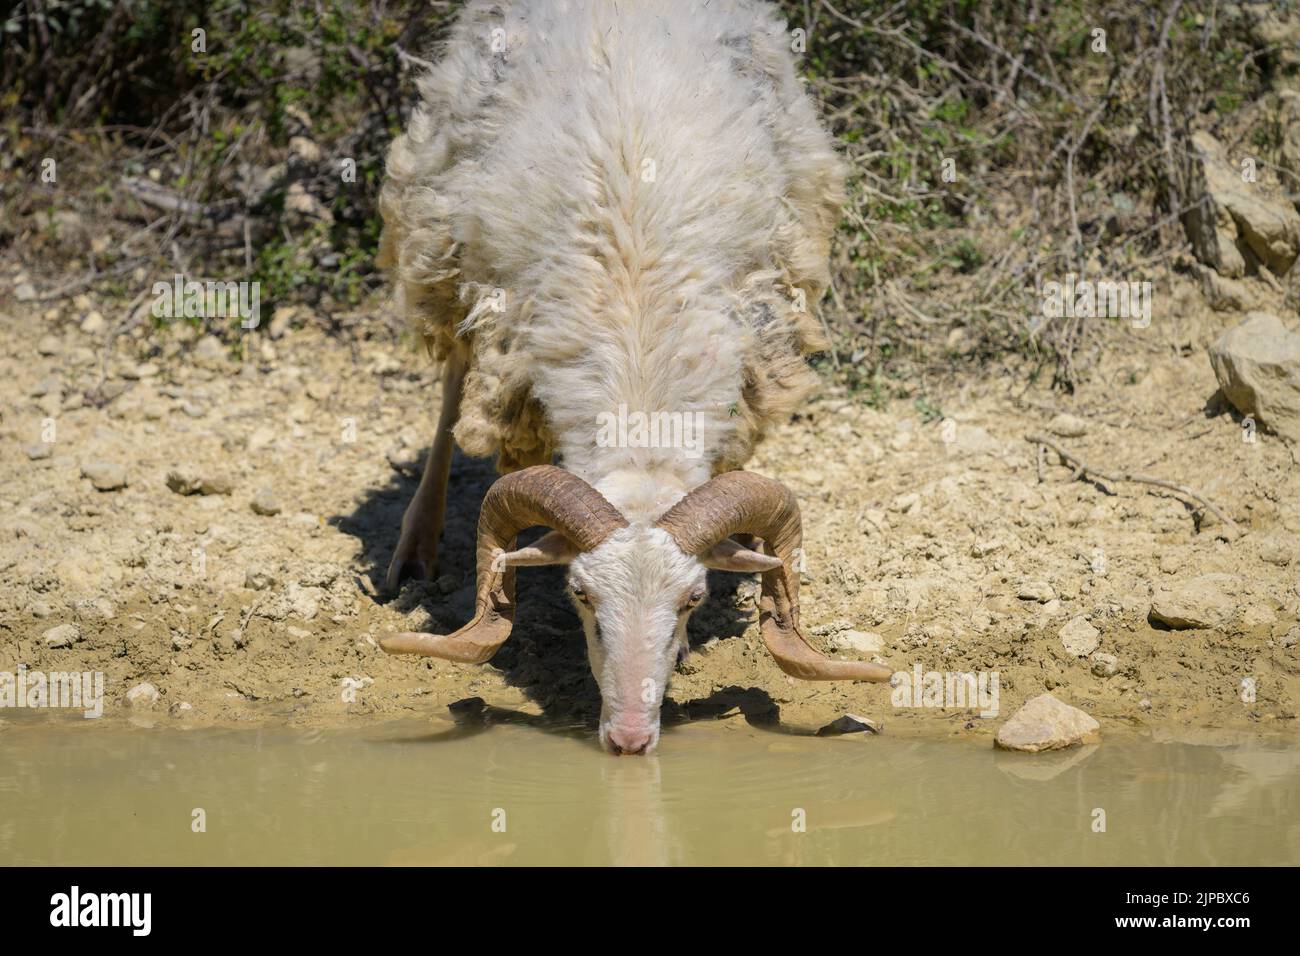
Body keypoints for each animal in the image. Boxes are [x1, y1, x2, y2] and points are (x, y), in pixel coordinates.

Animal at [377, 0, 891, 754]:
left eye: (693, 600)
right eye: (581, 595)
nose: (626, 738)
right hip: (439, 241)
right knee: (451, 387)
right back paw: (416, 547)